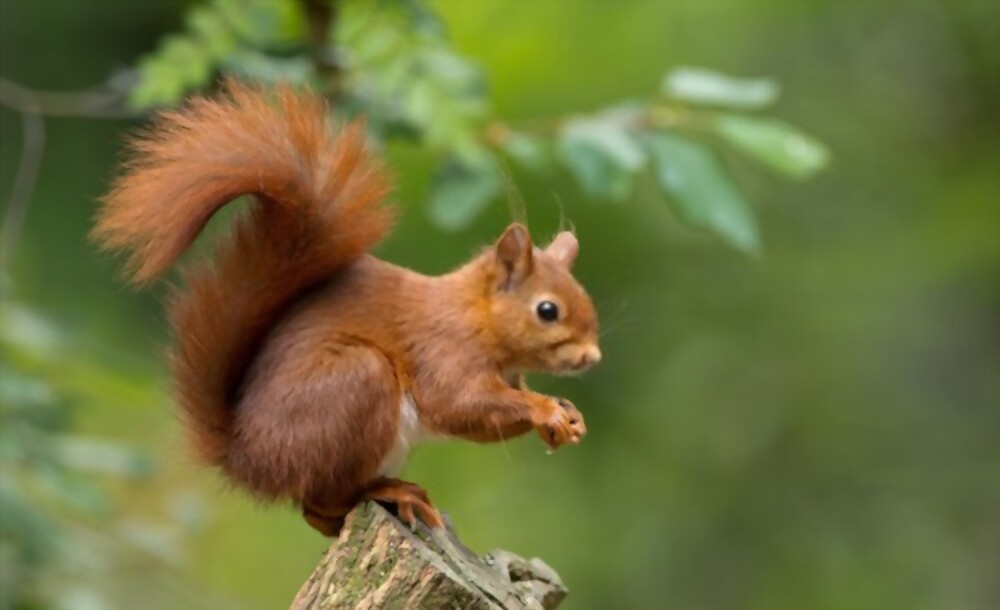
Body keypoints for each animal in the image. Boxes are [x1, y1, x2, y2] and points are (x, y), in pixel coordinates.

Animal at [92, 80, 601, 536]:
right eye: (547, 310)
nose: (592, 357)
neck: (475, 318)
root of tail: (248, 460)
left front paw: (567, 415)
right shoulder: (443, 351)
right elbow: (460, 405)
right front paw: (544, 410)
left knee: (317, 515)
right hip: (356, 386)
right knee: (321, 501)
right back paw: (391, 491)